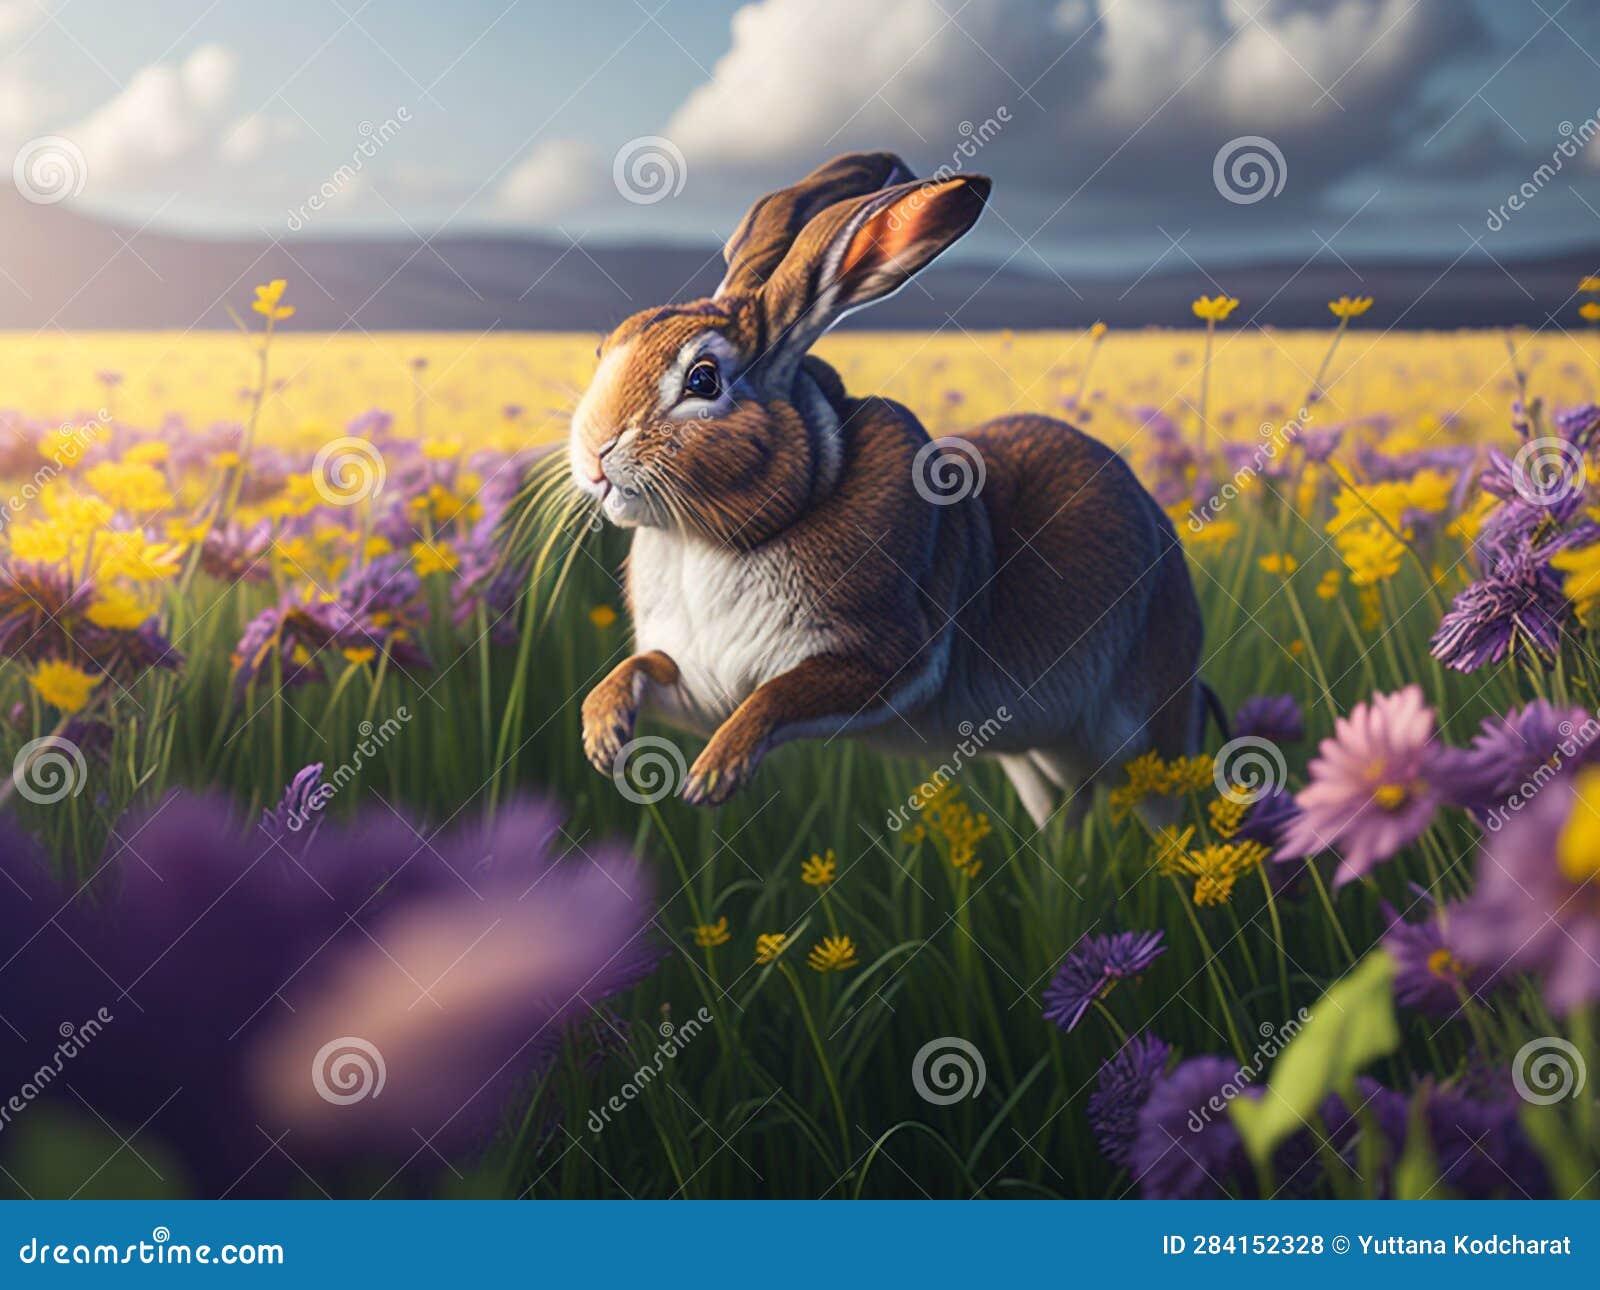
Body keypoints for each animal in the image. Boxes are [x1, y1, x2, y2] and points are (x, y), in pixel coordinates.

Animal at [570, 150, 1216, 829]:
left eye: (703, 379)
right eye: (604, 347)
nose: (593, 456)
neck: (711, 541)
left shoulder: (887, 657)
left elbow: (778, 696)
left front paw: (713, 776)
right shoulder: (703, 684)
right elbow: (648, 669)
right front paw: (603, 733)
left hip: (1151, 734)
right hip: (1036, 756)